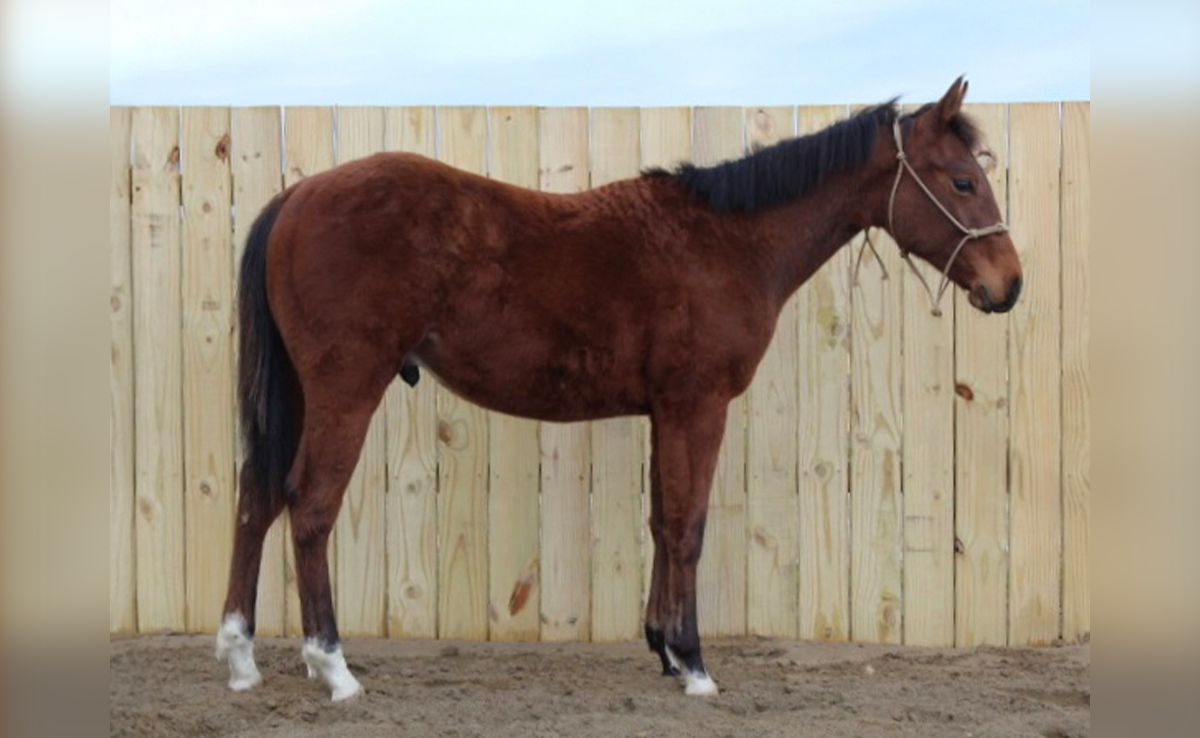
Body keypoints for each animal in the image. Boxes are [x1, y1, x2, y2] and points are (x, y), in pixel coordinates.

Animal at [215, 77, 1021, 701]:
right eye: (962, 181)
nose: (1008, 285)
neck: (728, 241)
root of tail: (298, 195)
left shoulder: (667, 411)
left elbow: (662, 521)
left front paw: (663, 647)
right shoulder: (698, 405)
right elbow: (689, 525)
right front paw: (694, 663)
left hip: (299, 393)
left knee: (257, 498)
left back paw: (241, 657)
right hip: (346, 387)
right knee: (310, 506)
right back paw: (333, 667)